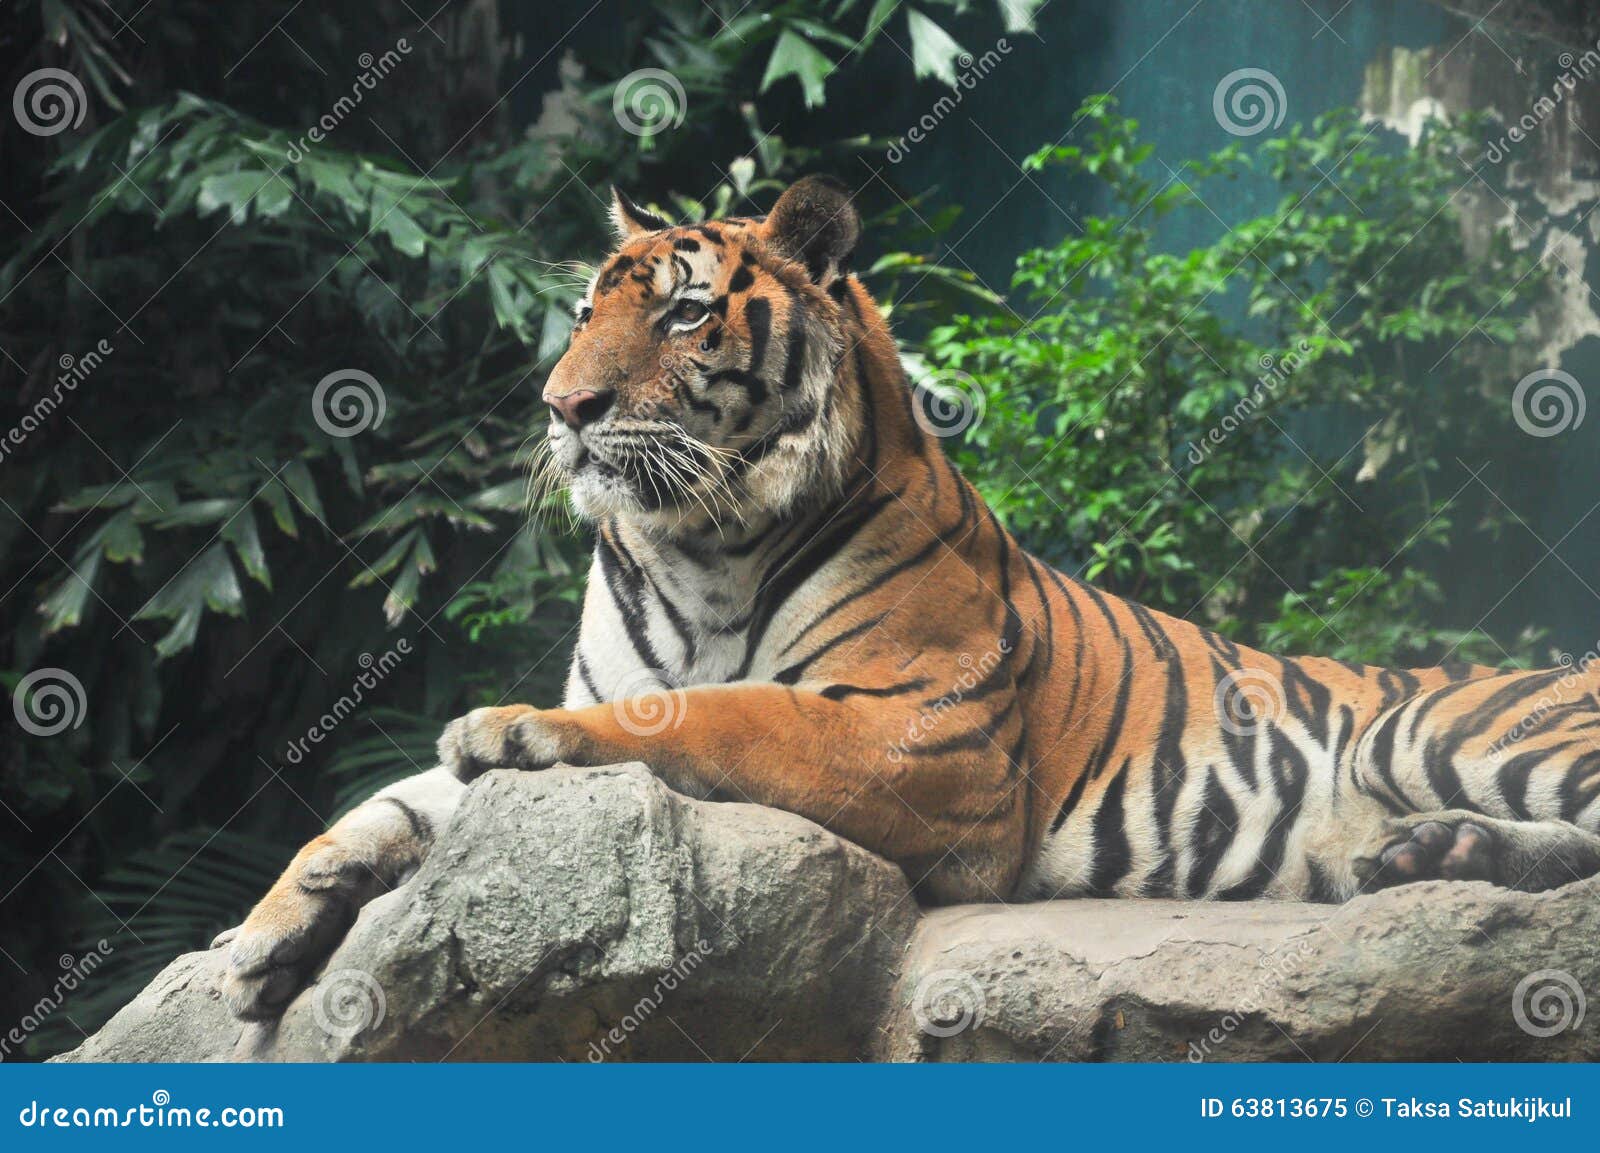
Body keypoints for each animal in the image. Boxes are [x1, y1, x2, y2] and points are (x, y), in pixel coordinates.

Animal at [217, 175, 1600, 1020]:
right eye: (579, 313)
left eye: (681, 314)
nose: (564, 408)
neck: (690, 542)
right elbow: (382, 804)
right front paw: (260, 941)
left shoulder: (929, 738)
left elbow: (718, 715)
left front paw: (521, 732)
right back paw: (1429, 854)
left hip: (1432, 726)